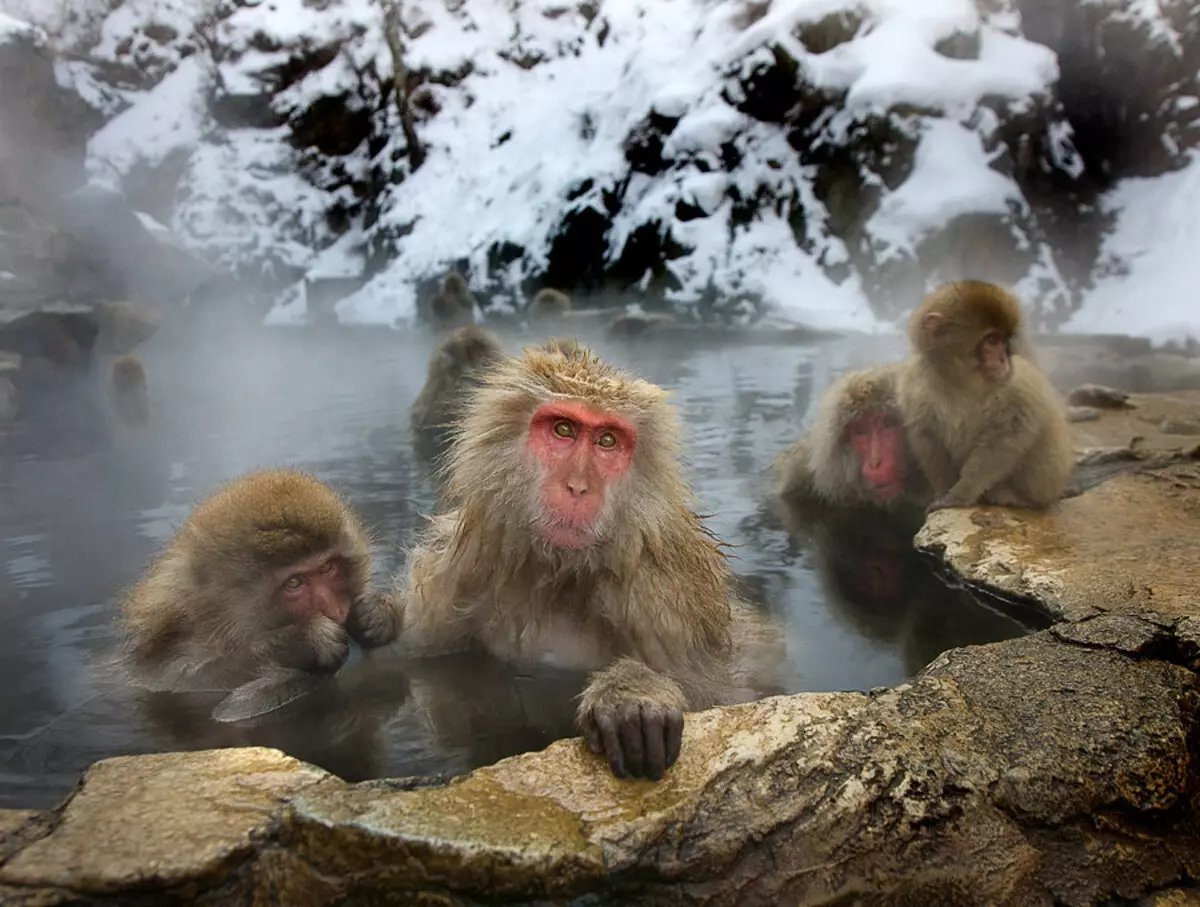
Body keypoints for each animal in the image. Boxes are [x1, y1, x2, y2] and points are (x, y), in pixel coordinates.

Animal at [120, 470, 396, 719]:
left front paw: (378, 613)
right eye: (294, 583)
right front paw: (302, 641)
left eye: (328, 568)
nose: (336, 612)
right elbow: (196, 683)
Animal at [379, 343, 782, 782]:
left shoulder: (664, 599)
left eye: (607, 440)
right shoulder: (456, 574)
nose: (578, 487)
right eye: (563, 430)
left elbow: (719, 694)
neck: (559, 572)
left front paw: (633, 696)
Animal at [897, 279, 1075, 513]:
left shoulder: (1019, 383)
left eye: (1003, 340)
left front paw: (960, 494)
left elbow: (1006, 439)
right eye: (991, 340)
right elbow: (927, 438)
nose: (1003, 359)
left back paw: (1020, 497)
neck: (960, 383)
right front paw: (944, 491)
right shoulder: (914, 385)